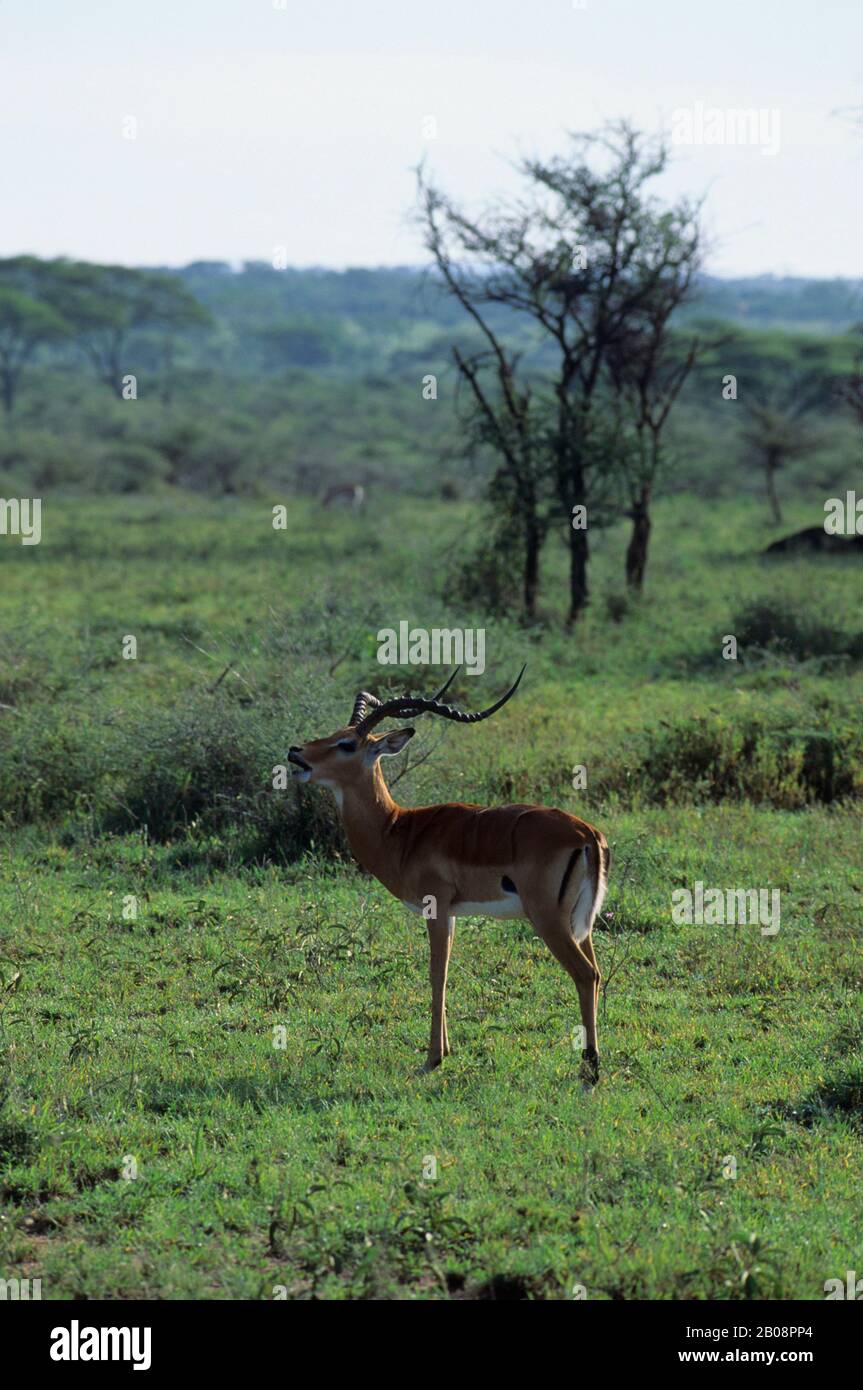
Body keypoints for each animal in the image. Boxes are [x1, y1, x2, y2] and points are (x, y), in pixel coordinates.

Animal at [288, 670, 610, 1080]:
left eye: (346, 744)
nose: (295, 752)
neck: (399, 831)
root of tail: (587, 834)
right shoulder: (453, 913)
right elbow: (445, 971)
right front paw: (445, 1050)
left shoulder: (436, 908)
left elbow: (436, 974)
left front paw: (432, 1059)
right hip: (579, 923)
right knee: (596, 973)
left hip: (548, 920)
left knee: (585, 975)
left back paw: (590, 1070)